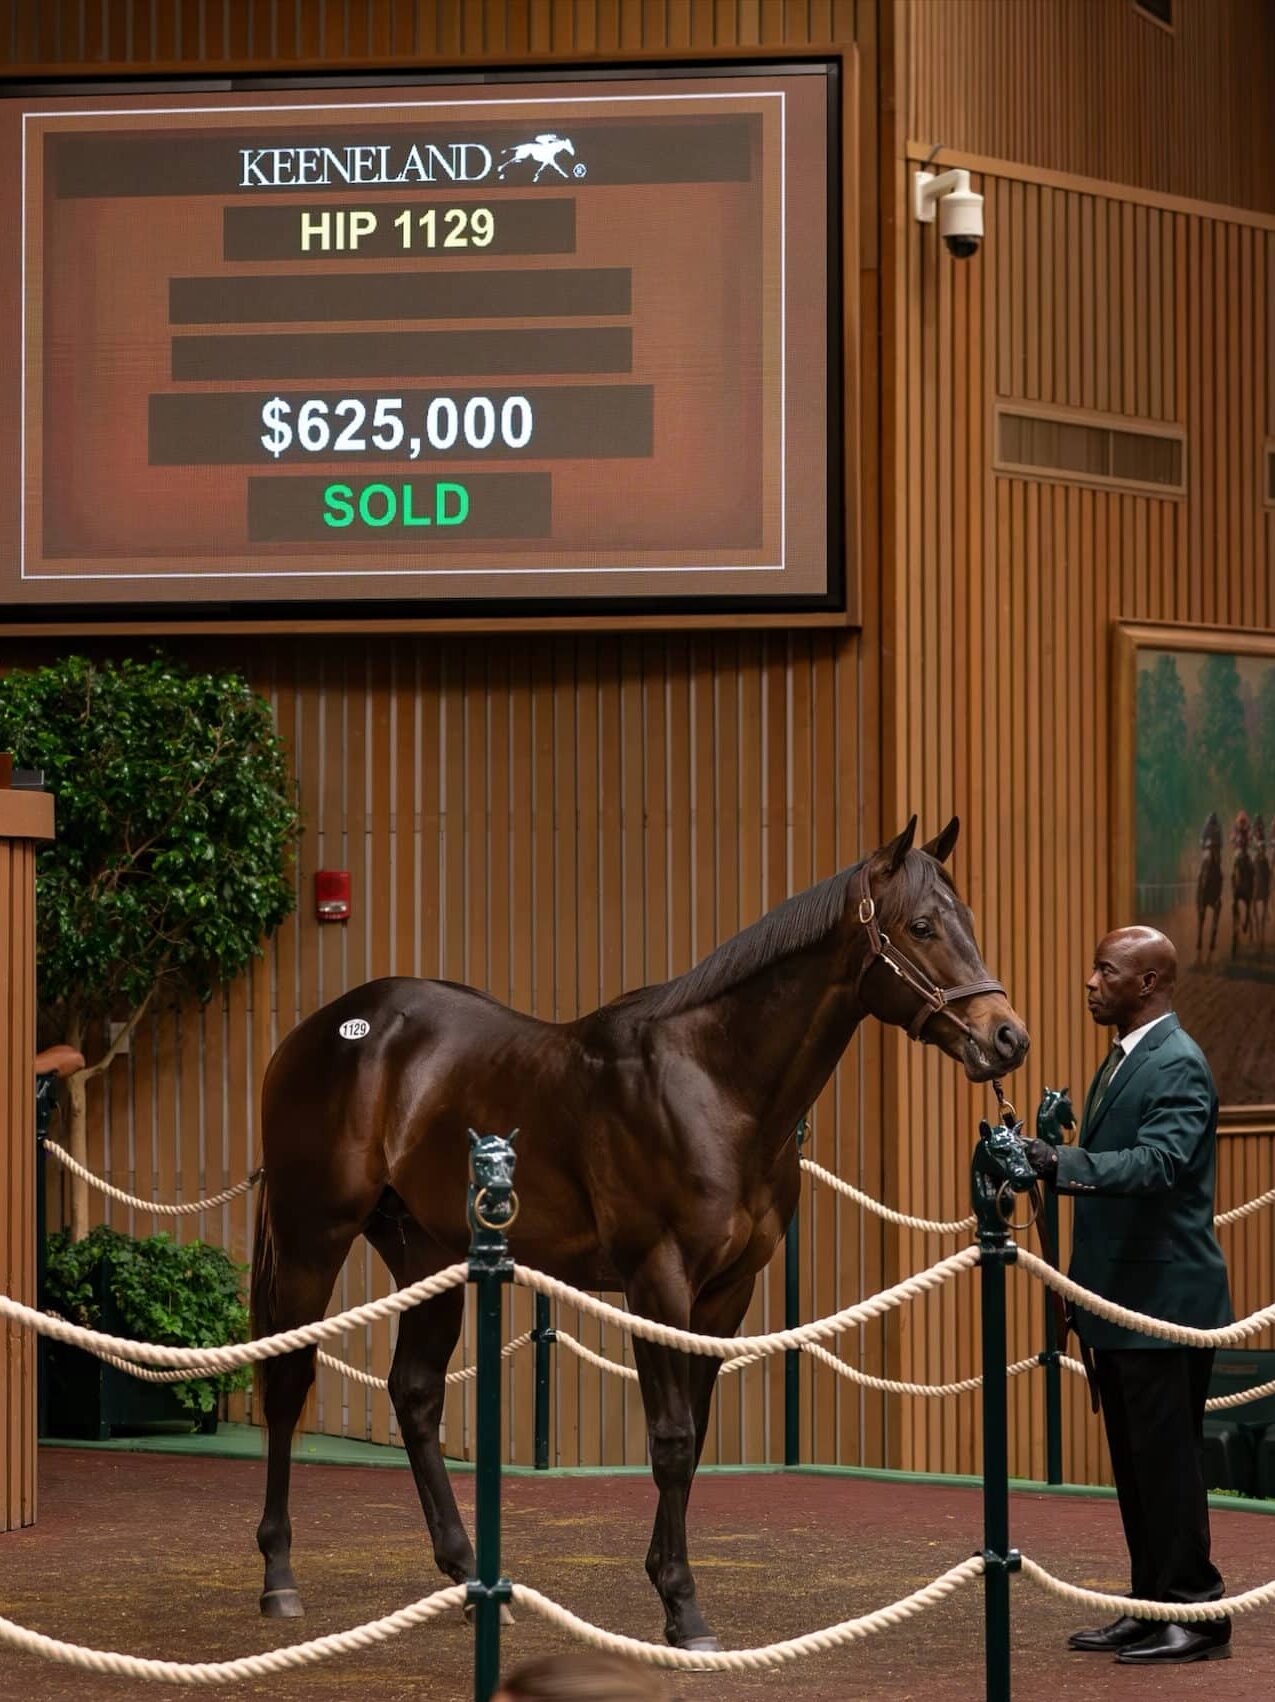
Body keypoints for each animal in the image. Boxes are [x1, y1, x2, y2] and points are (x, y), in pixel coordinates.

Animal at [249, 816, 1029, 1652]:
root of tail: (323, 1032)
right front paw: (683, 1608)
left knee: (415, 1394)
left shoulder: (725, 1295)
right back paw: (279, 1577)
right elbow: (672, 1437)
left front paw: (669, 1587)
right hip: (311, 1237)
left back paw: (465, 1574)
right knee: (288, 1380)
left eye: (966, 920)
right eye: (921, 927)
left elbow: (695, 1432)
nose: (1006, 1038)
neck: (714, 1085)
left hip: (427, 1255)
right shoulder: (657, 1281)